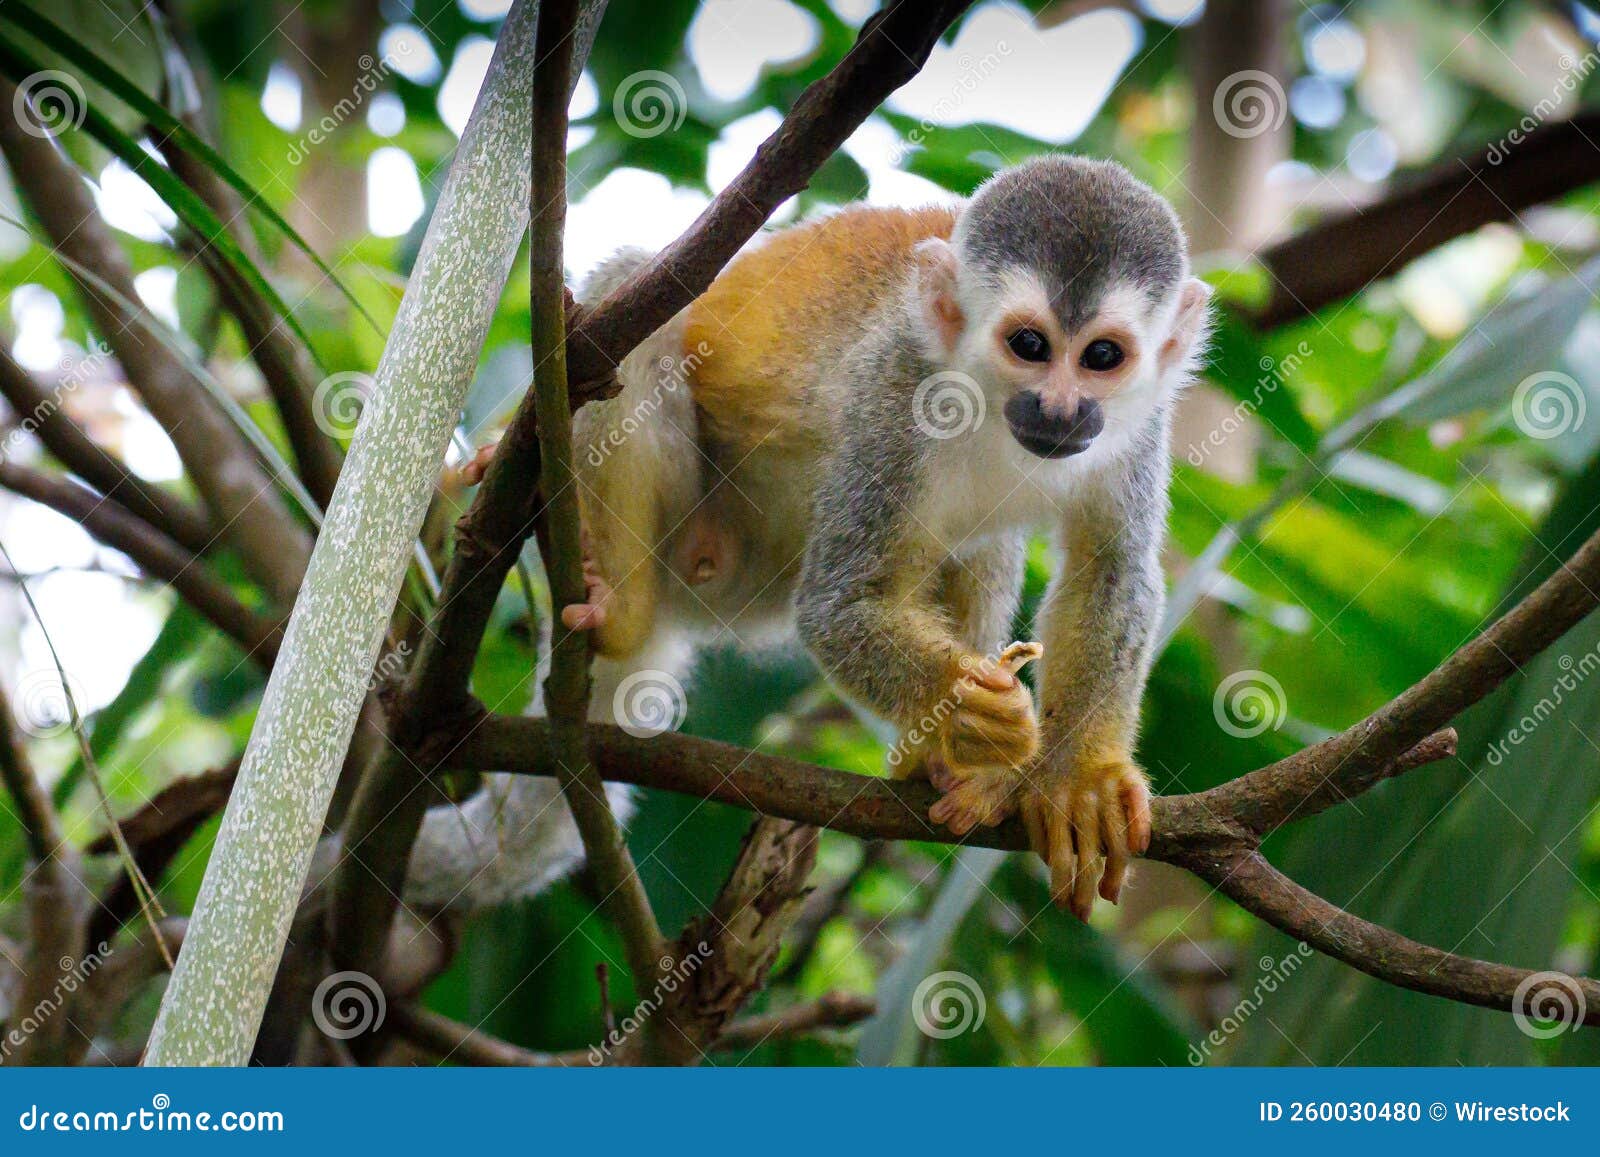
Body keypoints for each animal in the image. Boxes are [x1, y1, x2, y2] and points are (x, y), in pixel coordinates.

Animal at [443, 154, 1210, 920]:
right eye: (1029, 345)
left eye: (1102, 355)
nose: (1059, 408)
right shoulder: (895, 388)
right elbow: (837, 604)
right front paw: (964, 705)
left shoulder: (1143, 422)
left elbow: (1110, 569)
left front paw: (1079, 777)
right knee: (626, 328)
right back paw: (618, 610)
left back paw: (943, 767)